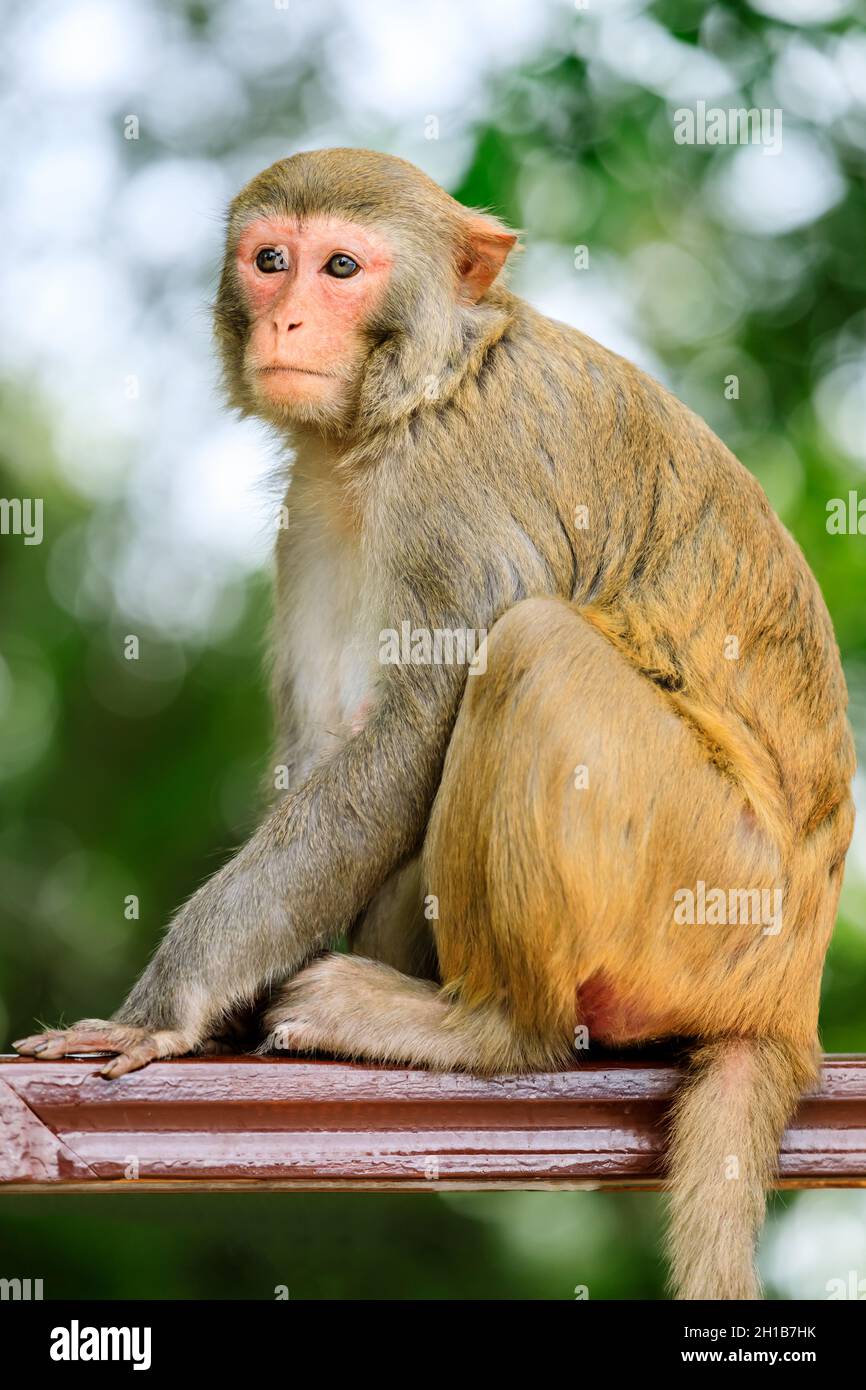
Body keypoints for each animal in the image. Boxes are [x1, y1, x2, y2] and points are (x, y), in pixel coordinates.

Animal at [14, 148, 855, 1301]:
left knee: (534, 652)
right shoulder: (317, 505)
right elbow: (335, 750)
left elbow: (412, 728)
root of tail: (788, 1001)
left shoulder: (456, 488)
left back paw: (489, 1029)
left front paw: (166, 1009)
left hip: (710, 898)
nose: (286, 320)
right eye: (270, 261)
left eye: (340, 267)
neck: (418, 390)